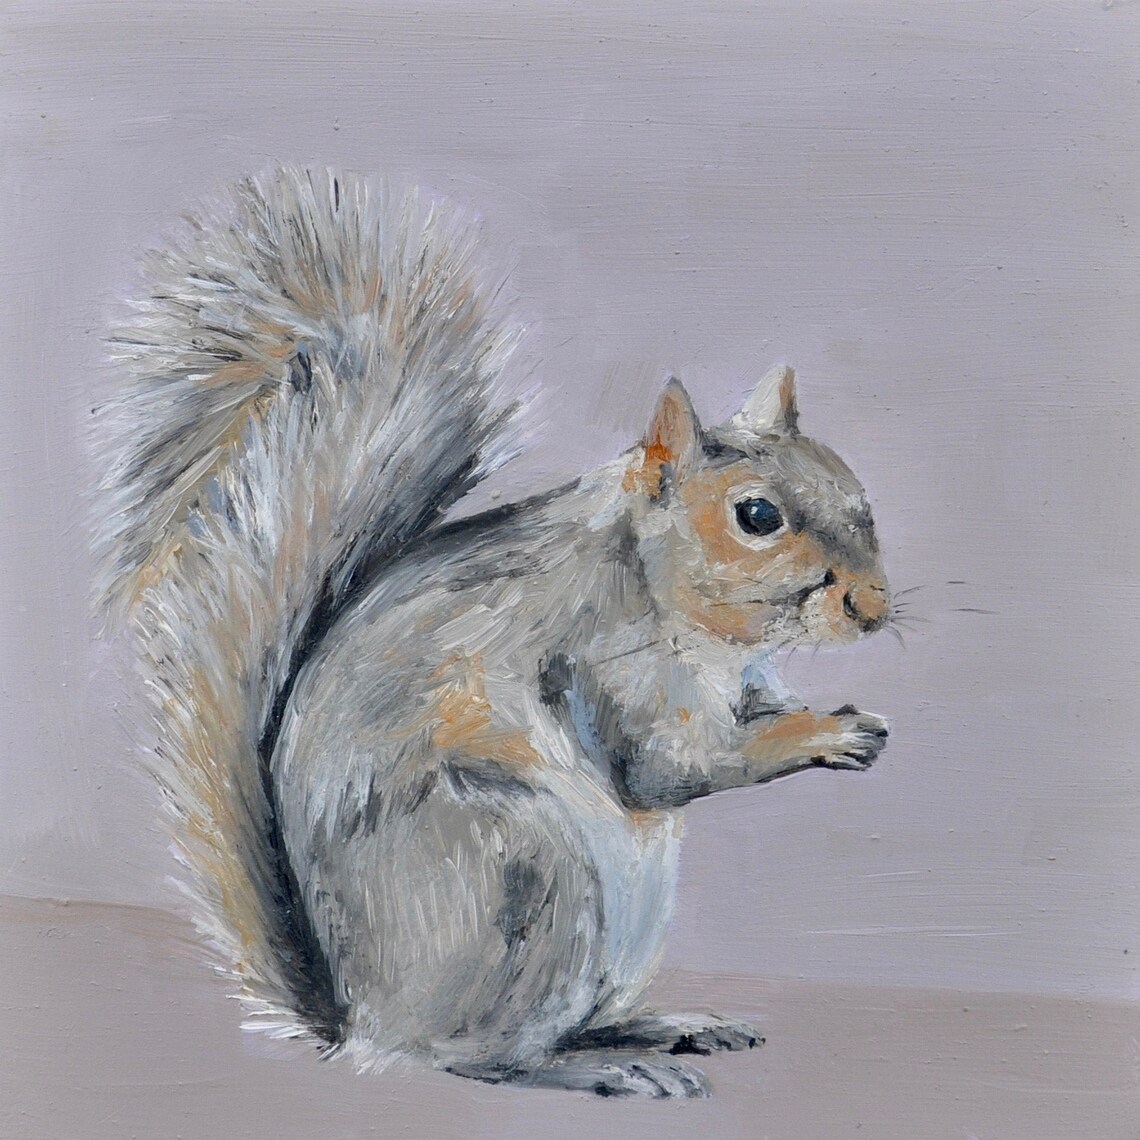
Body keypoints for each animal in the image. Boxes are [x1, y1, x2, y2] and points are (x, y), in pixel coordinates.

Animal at [98, 167, 892, 1099]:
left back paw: (664, 1028)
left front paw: (848, 722)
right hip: (521, 876)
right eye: (757, 516)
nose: (874, 606)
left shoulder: (747, 676)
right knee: (484, 1057)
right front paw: (826, 735)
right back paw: (603, 1071)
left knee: (567, 1023)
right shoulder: (607, 660)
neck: (696, 623)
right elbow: (671, 765)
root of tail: (362, 1020)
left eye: (857, 493)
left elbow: (750, 718)